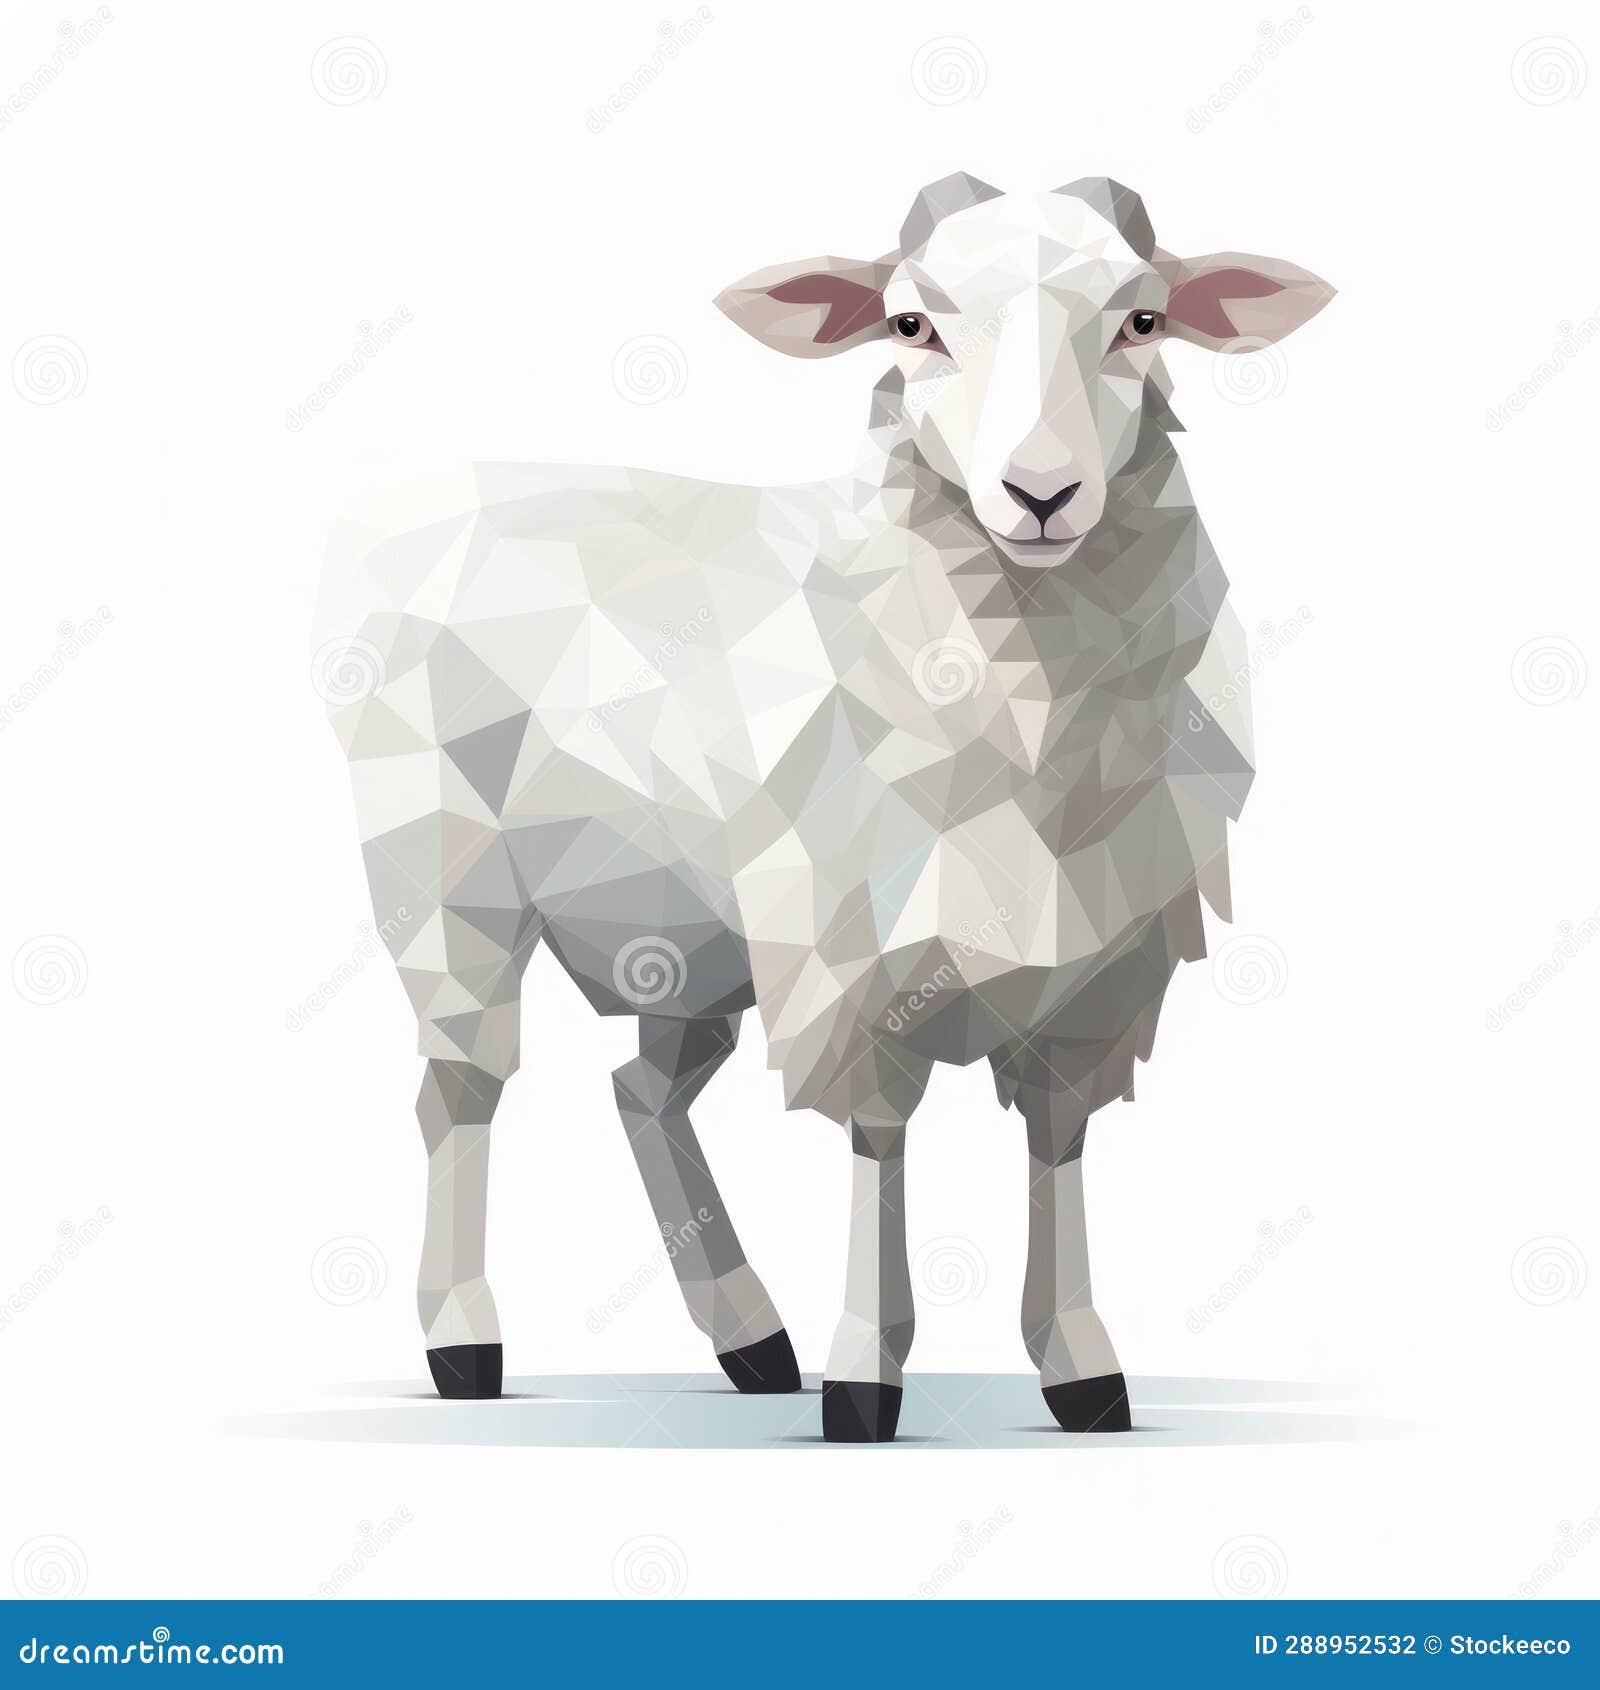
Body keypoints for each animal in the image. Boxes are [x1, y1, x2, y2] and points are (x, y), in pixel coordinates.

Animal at [320, 174, 1333, 1442]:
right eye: (910, 325)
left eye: (1141, 321)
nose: (1040, 494)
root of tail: (453, 495)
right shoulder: (856, 965)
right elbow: (877, 1146)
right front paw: (866, 1378)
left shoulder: (1091, 976)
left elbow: (1056, 1147)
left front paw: (1083, 1371)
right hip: (449, 884)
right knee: (458, 1089)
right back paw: (465, 1339)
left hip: (690, 938)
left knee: (640, 1089)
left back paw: (748, 1336)